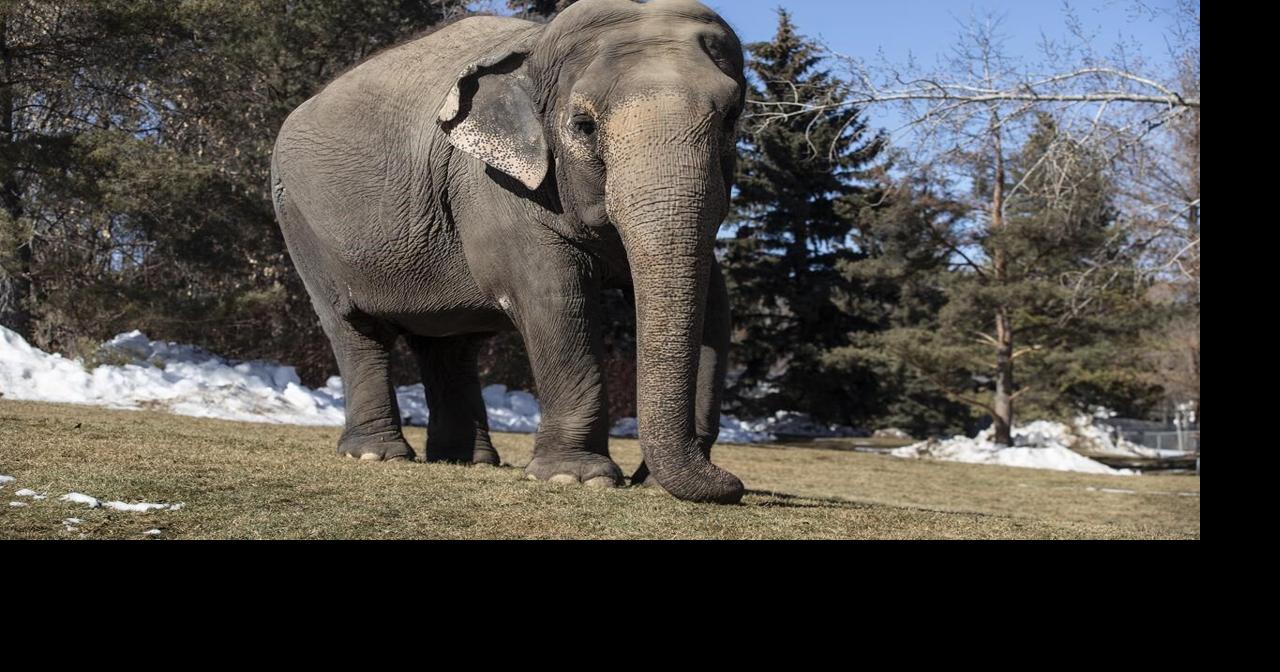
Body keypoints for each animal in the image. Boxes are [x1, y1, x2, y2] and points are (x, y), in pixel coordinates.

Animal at [270, 0, 747, 503]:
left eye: (731, 118)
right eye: (583, 125)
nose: (734, 483)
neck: (535, 53)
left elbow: (716, 310)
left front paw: (651, 483)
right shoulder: (492, 186)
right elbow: (555, 301)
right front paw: (576, 478)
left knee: (448, 343)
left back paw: (466, 459)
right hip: (301, 225)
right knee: (355, 328)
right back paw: (376, 455)